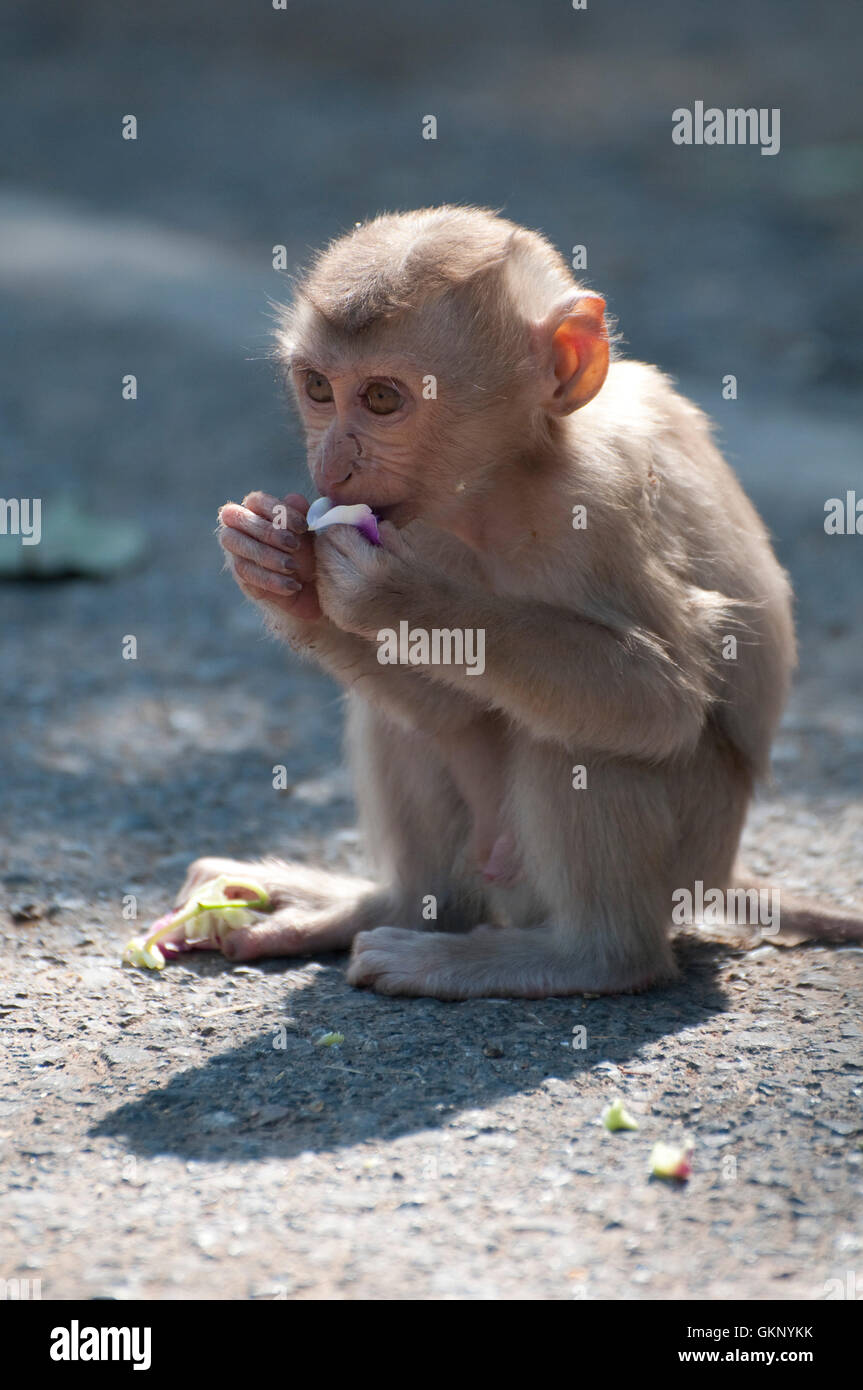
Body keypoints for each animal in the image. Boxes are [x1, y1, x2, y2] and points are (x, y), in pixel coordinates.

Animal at [185, 204, 862, 998]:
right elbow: (449, 702)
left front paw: (393, 596)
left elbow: (663, 700)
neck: (501, 486)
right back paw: (396, 908)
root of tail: (723, 873)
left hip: (687, 847)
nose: (330, 463)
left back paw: (584, 956)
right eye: (318, 388)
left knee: (583, 740)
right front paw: (280, 571)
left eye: (381, 398)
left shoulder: (602, 498)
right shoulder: (420, 519)